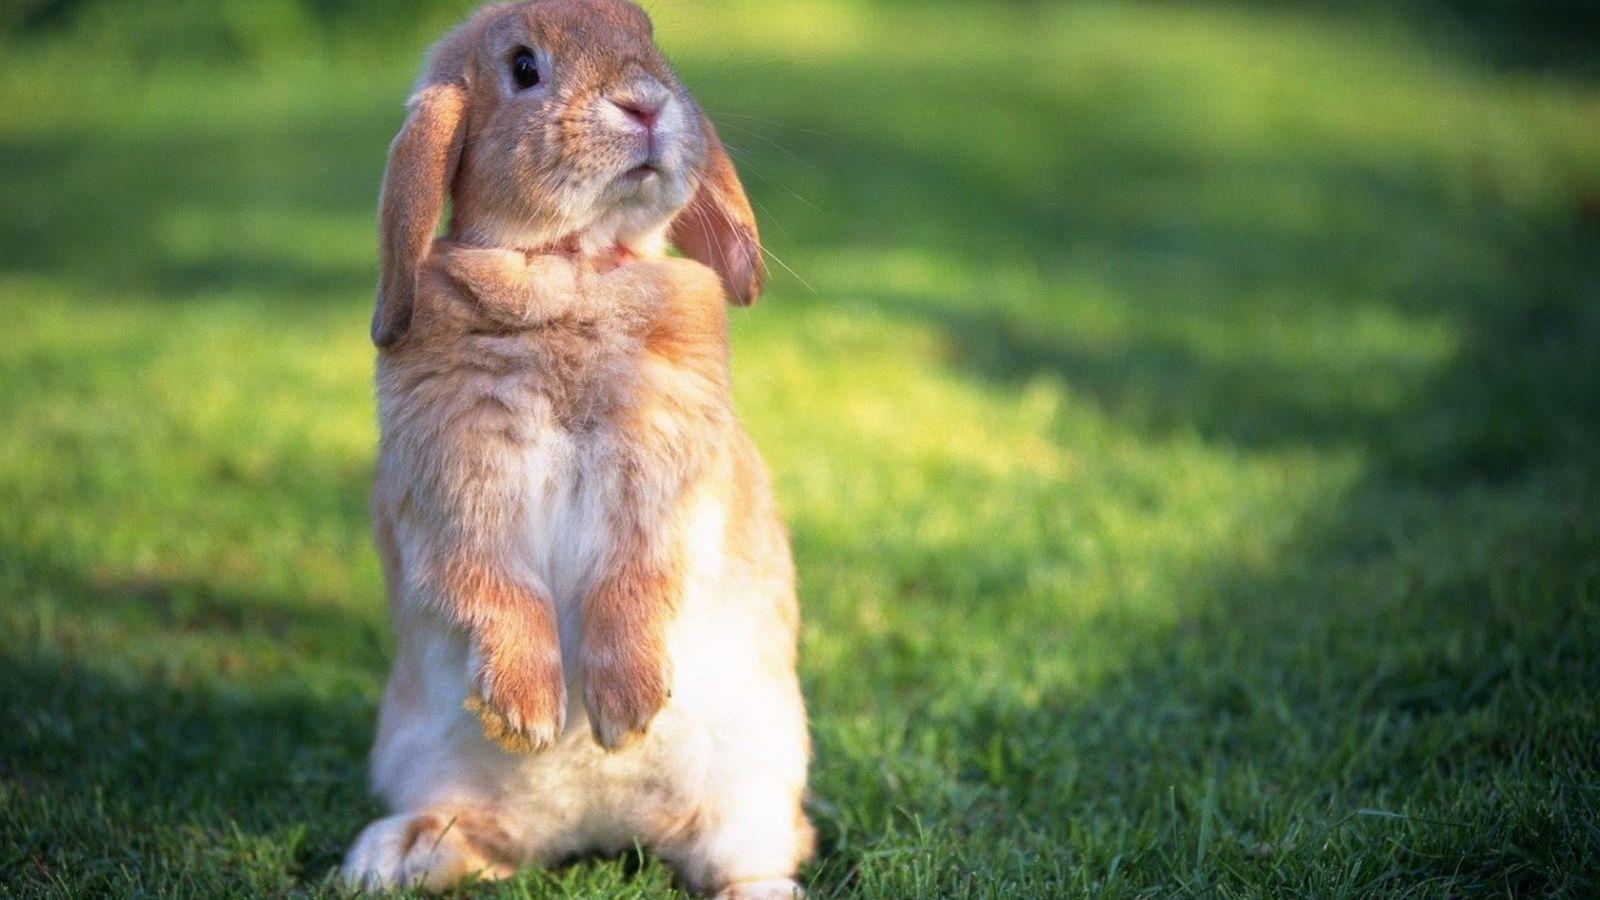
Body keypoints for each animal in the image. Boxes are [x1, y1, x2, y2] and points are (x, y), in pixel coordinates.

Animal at [338, 1, 812, 897]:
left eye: (650, 36)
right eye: (524, 67)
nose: (646, 104)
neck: (573, 267)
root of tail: (596, 829)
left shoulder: (662, 483)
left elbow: (635, 580)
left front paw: (625, 713)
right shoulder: (459, 490)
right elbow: (495, 586)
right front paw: (528, 716)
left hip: (753, 791)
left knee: (757, 854)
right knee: (482, 840)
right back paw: (389, 856)